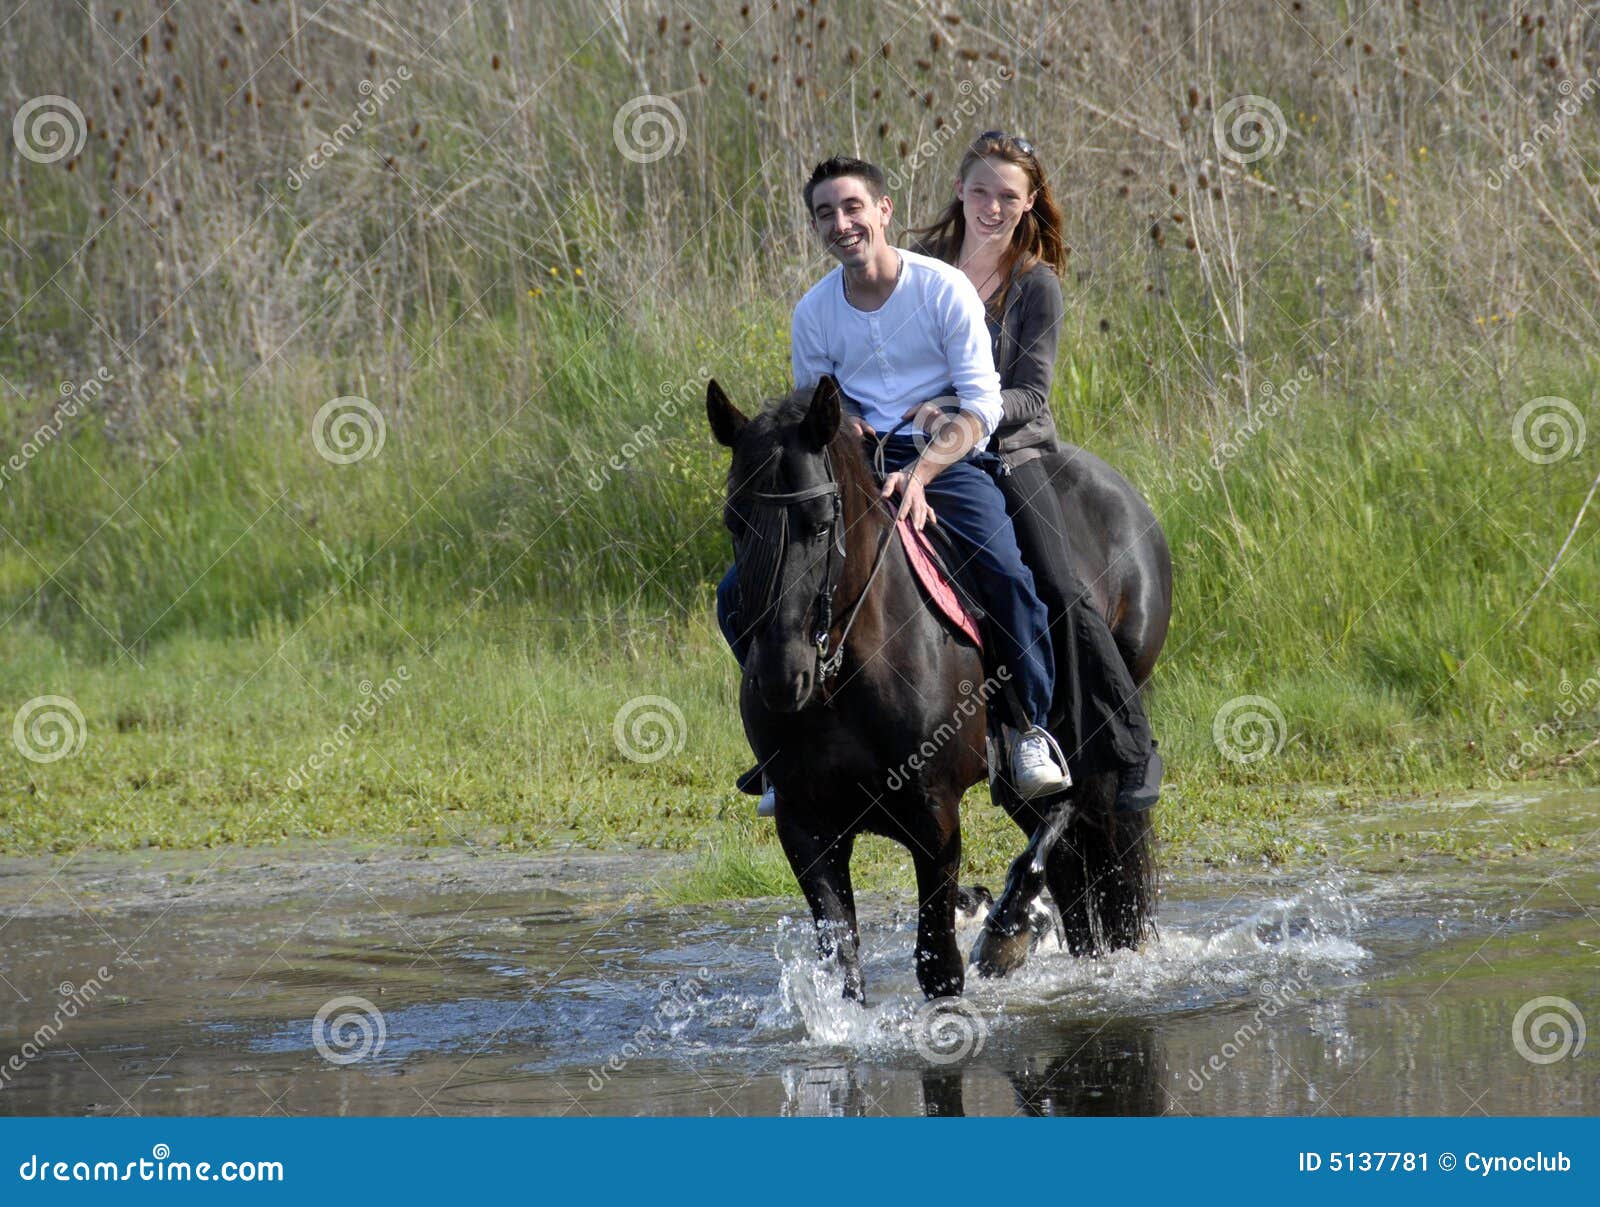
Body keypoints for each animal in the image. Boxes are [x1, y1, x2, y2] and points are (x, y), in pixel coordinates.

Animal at [708, 374, 1170, 1002]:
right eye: (734, 522)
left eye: (822, 522)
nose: (781, 677)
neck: (845, 678)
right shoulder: (805, 826)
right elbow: (843, 968)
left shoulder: (934, 817)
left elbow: (940, 969)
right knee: (1069, 857)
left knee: (1075, 807)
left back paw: (1008, 931)